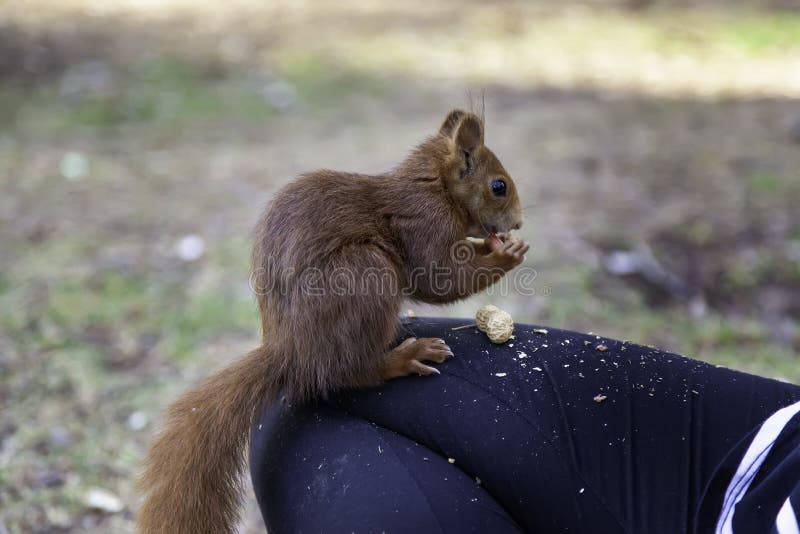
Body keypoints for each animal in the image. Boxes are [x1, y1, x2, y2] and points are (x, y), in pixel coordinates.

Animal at [137, 109, 528, 533]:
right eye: (499, 186)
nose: (518, 223)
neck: (433, 185)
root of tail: (291, 351)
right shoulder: (425, 223)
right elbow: (441, 276)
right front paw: (505, 254)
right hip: (366, 277)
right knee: (350, 372)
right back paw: (405, 357)